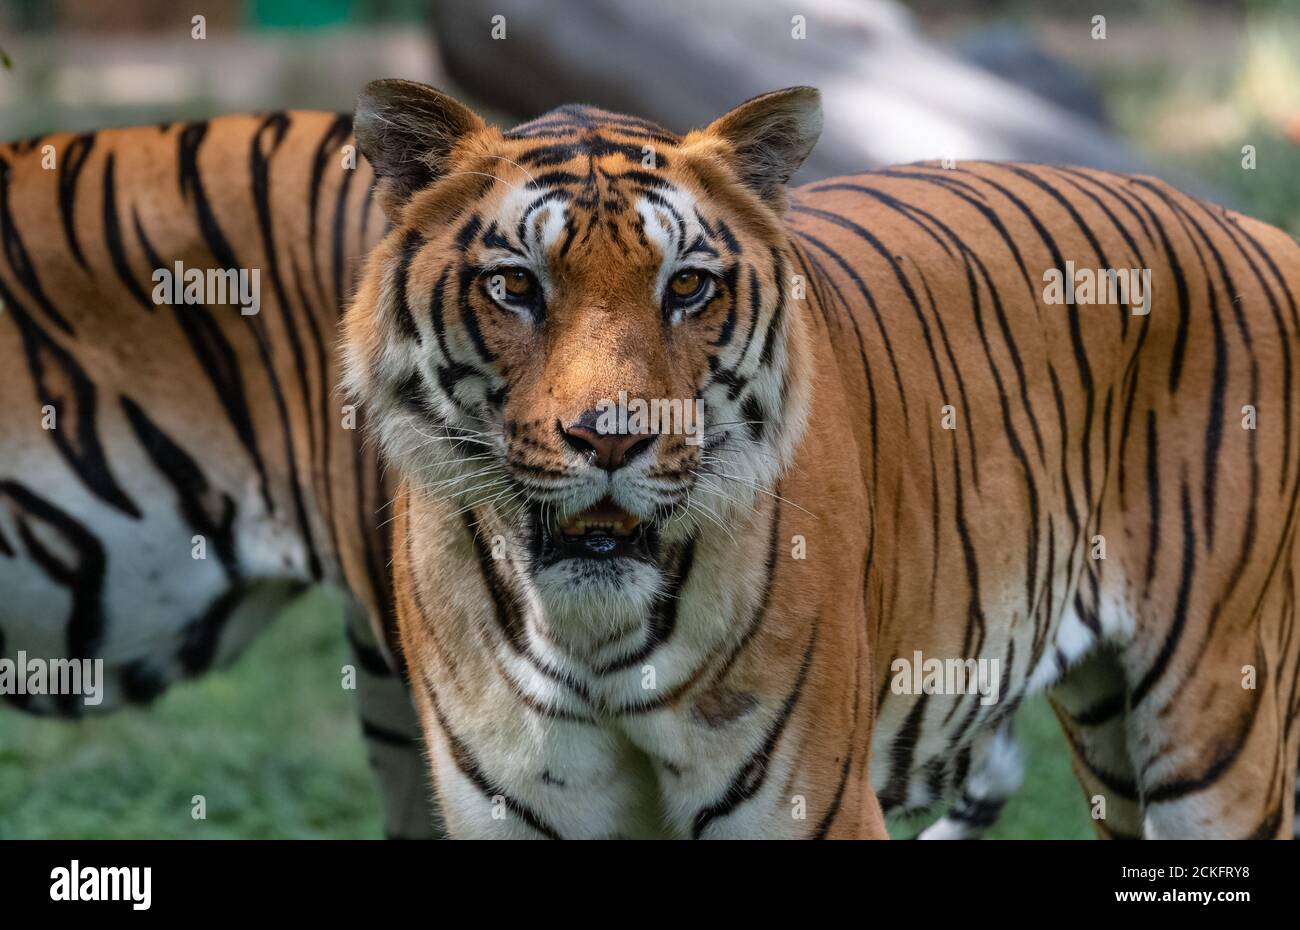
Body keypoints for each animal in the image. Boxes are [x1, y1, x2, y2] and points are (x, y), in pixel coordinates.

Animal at [342, 78, 1300, 839]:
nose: (612, 437)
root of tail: (1254, 229)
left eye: (686, 286)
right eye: (514, 285)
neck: (592, 639)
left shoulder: (813, 808)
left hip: (1218, 733)